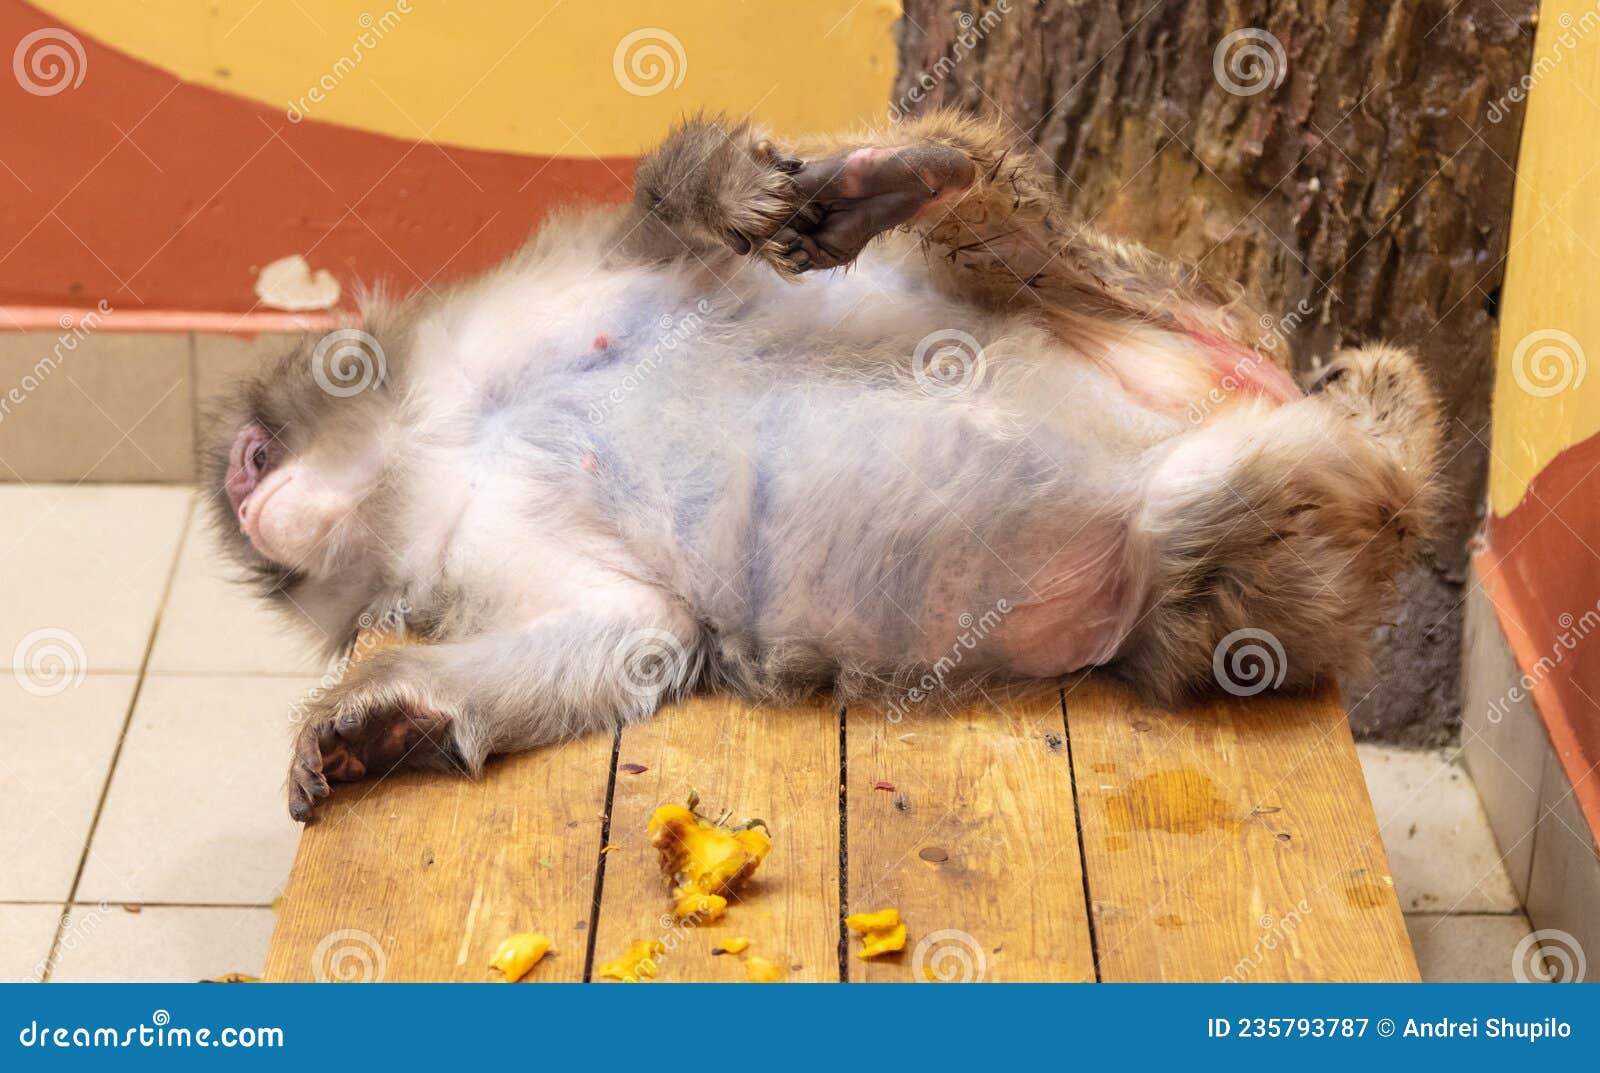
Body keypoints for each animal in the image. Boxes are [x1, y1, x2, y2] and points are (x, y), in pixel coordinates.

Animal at [204, 110, 1441, 821]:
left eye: (254, 456)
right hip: (1281, 536)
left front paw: (744, 197)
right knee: (1192, 532)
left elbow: (677, 237)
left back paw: (878, 189)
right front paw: (379, 716)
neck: (446, 449)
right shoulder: (476, 543)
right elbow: (631, 631)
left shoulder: (510, 322)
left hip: (1155, 314)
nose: (254, 507)